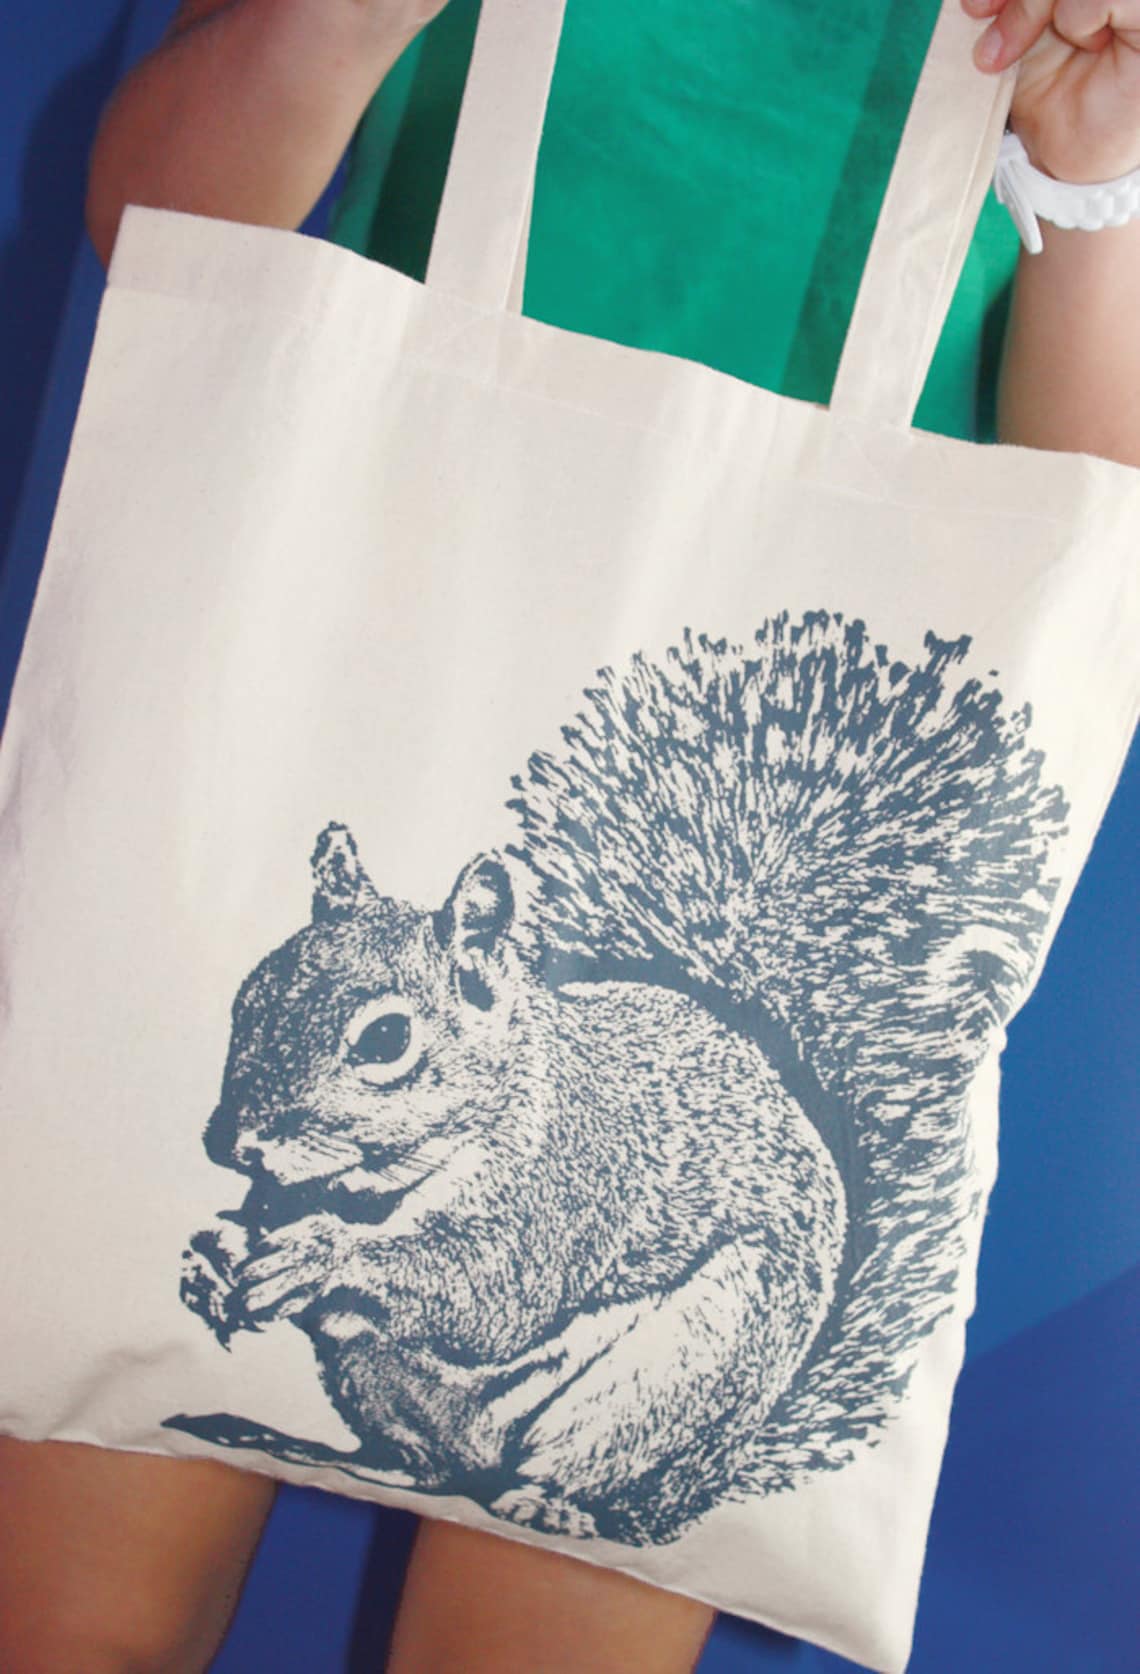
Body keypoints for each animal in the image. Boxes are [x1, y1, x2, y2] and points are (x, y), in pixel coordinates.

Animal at [166, 609, 1068, 1547]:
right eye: (253, 991)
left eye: (385, 1038)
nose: (233, 1144)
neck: (385, 1182)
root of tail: (693, 1490)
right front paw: (214, 1257)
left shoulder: (572, 1182)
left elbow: (488, 1291)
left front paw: (322, 1252)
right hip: (375, 1382)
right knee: (425, 1464)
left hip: (678, 1373)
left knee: (576, 1478)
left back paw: (547, 1503)